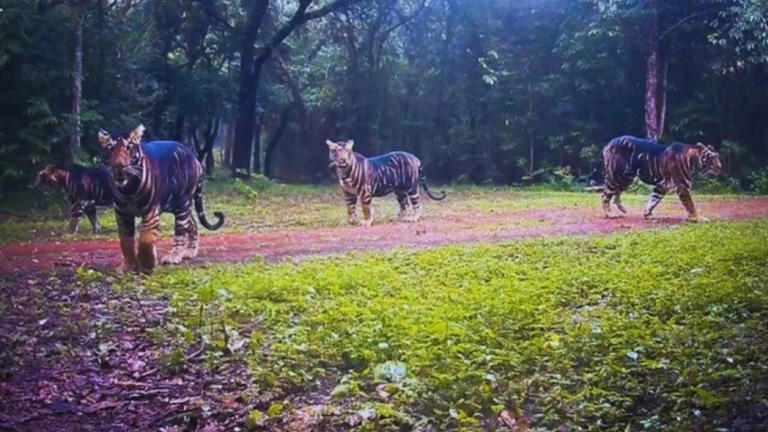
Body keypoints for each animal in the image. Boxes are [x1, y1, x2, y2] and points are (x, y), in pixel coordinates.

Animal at [98, 124, 225, 274]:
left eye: (129, 147)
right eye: (111, 148)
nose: (118, 166)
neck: (128, 189)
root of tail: (195, 159)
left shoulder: (151, 211)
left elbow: (146, 239)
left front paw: (147, 264)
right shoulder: (121, 213)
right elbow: (125, 241)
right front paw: (127, 266)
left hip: (182, 204)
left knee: (181, 232)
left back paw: (174, 257)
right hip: (175, 205)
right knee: (192, 222)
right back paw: (190, 251)